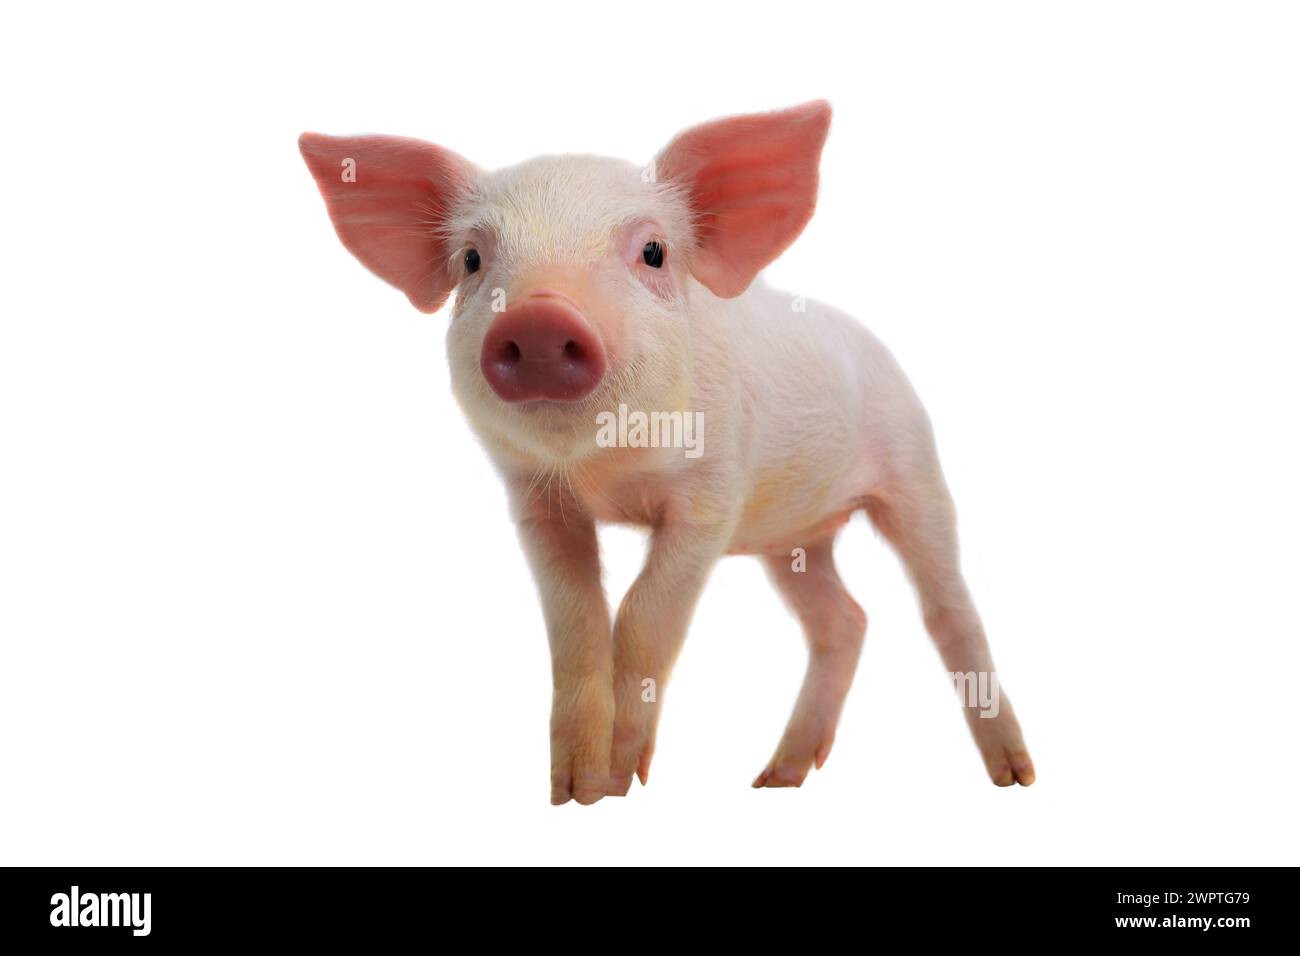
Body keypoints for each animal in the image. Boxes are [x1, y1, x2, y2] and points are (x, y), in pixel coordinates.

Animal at [299, 101, 1035, 804]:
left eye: (652, 251)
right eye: (473, 261)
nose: (540, 317)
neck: (604, 470)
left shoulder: (712, 495)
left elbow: (644, 615)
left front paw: (617, 783)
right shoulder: (536, 501)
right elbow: (577, 624)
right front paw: (572, 793)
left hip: (916, 469)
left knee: (949, 610)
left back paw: (1014, 776)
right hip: (790, 538)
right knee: (845, 620)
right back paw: (776, 780)